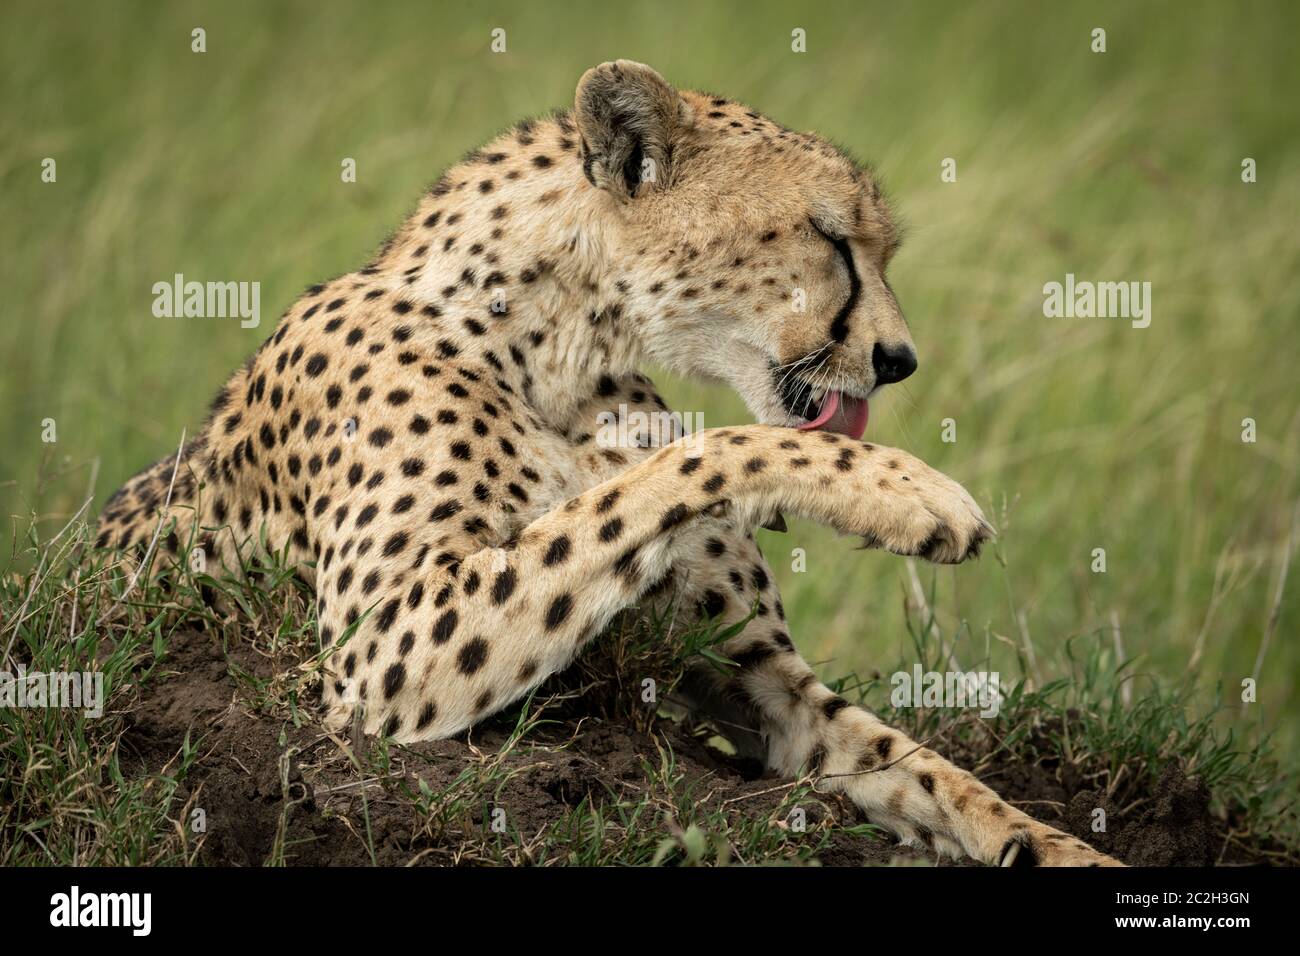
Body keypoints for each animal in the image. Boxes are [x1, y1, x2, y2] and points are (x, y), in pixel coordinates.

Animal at [95, 60, 1120, 866]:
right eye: (830, 238)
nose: (901, 359)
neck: (560, 347)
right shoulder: (378, 656)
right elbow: (697, 455)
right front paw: (906, 492)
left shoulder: (770, 688)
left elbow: (930, 773)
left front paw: (1064, 848)